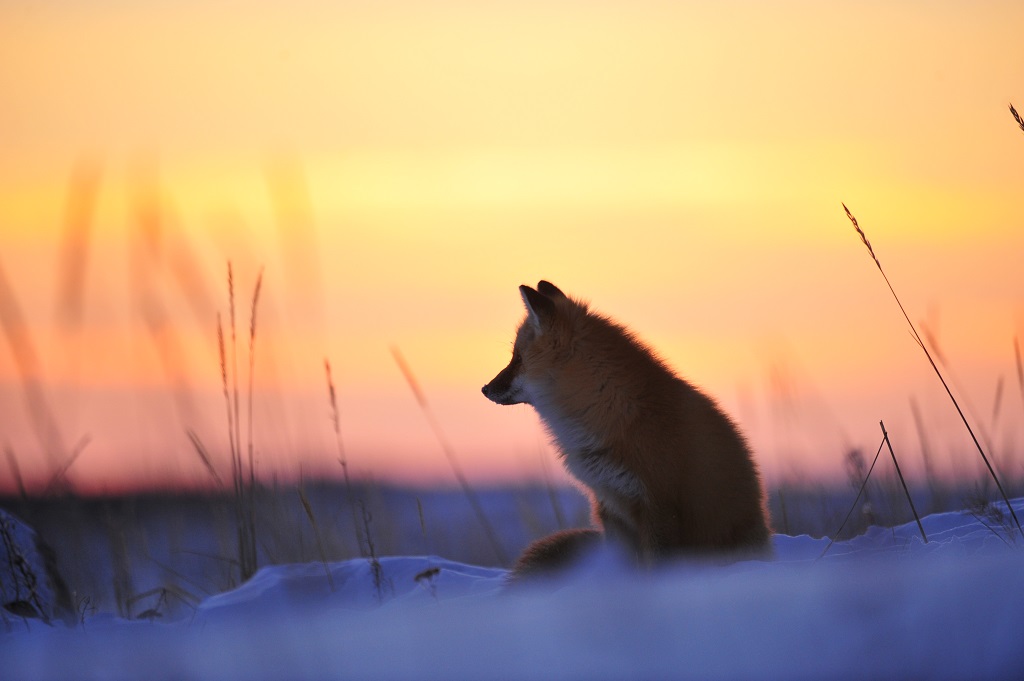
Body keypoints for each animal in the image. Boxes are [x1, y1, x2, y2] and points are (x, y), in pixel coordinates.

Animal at [482, 281, 771, 581]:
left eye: (517, 359)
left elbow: (657, 565)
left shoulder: (657, 504)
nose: (485, 388)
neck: (612, 412)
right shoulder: (609, 503)